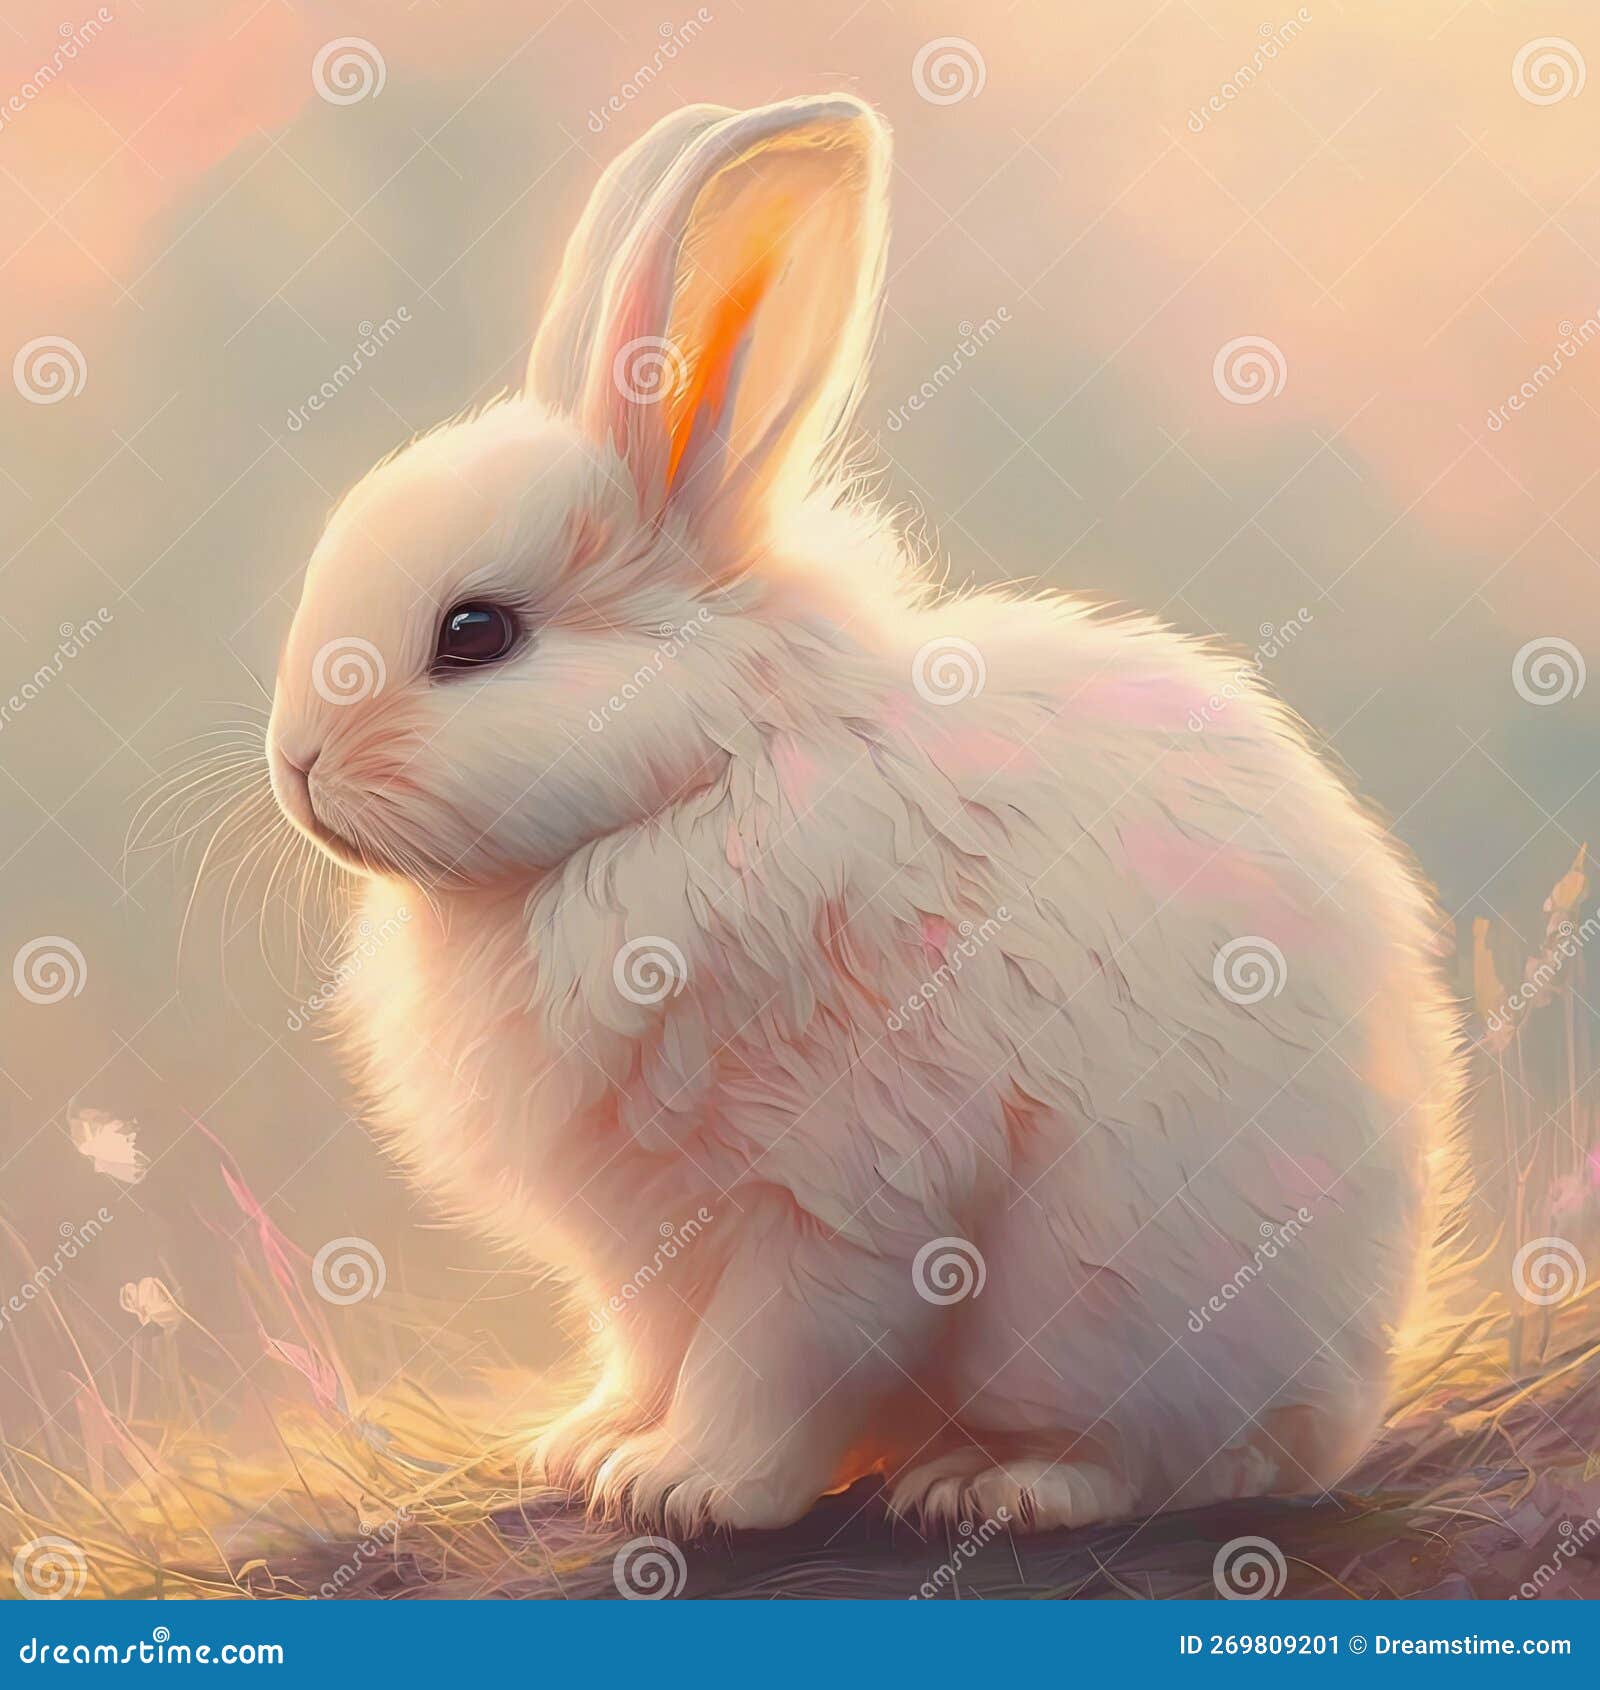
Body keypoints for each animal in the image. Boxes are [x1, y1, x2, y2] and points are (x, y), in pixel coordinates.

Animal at [265, 93, 1464, 1537]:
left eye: (475, 633)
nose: (296, 765)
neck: (691, 787)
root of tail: (1345, 1401)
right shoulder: (640, 1248)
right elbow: (651, 1348)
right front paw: (585, 1446)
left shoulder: (843, 1194)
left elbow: (772, 1358)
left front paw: (685, 1484)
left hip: (1118, 1312)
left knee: (1166, 1461)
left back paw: (992, 1484)